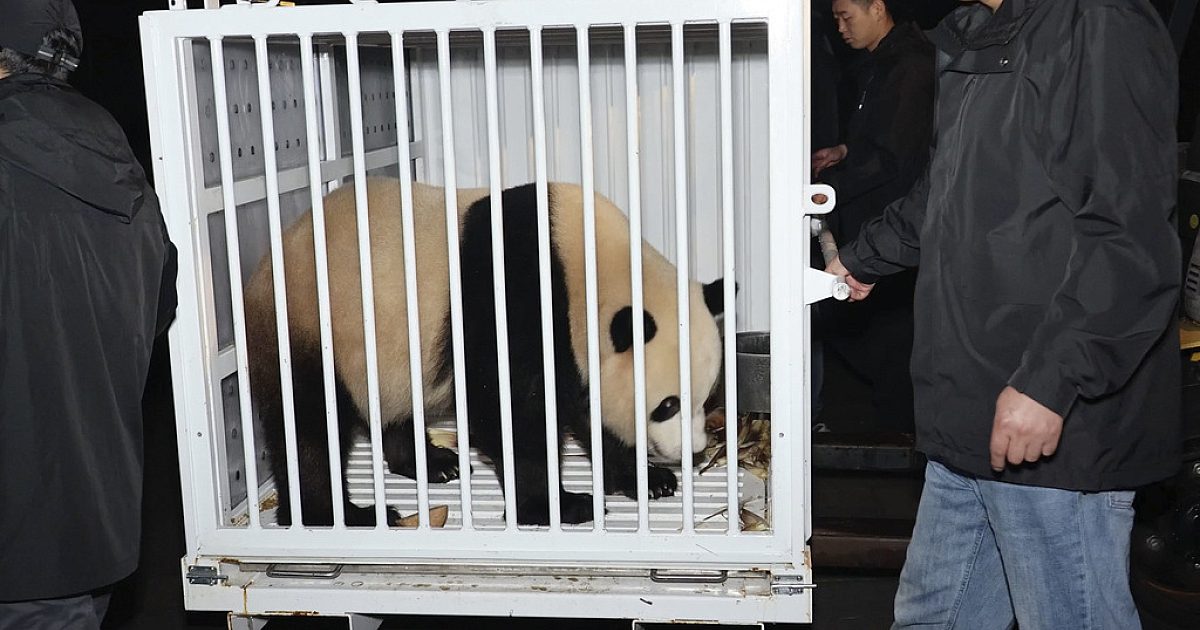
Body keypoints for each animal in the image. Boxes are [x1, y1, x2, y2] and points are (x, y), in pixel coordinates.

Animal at [243, 177, 727, 527]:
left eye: (707, 399)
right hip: (311, 323)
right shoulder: (514, 303)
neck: (585, 271)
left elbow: (590, 411)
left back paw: (434, 463)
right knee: (308, 423)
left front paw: (648, 479)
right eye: (668, 404)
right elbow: (509, 412)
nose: (693, 451)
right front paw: (557, 506)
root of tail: (262, 267)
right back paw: (340, 515)